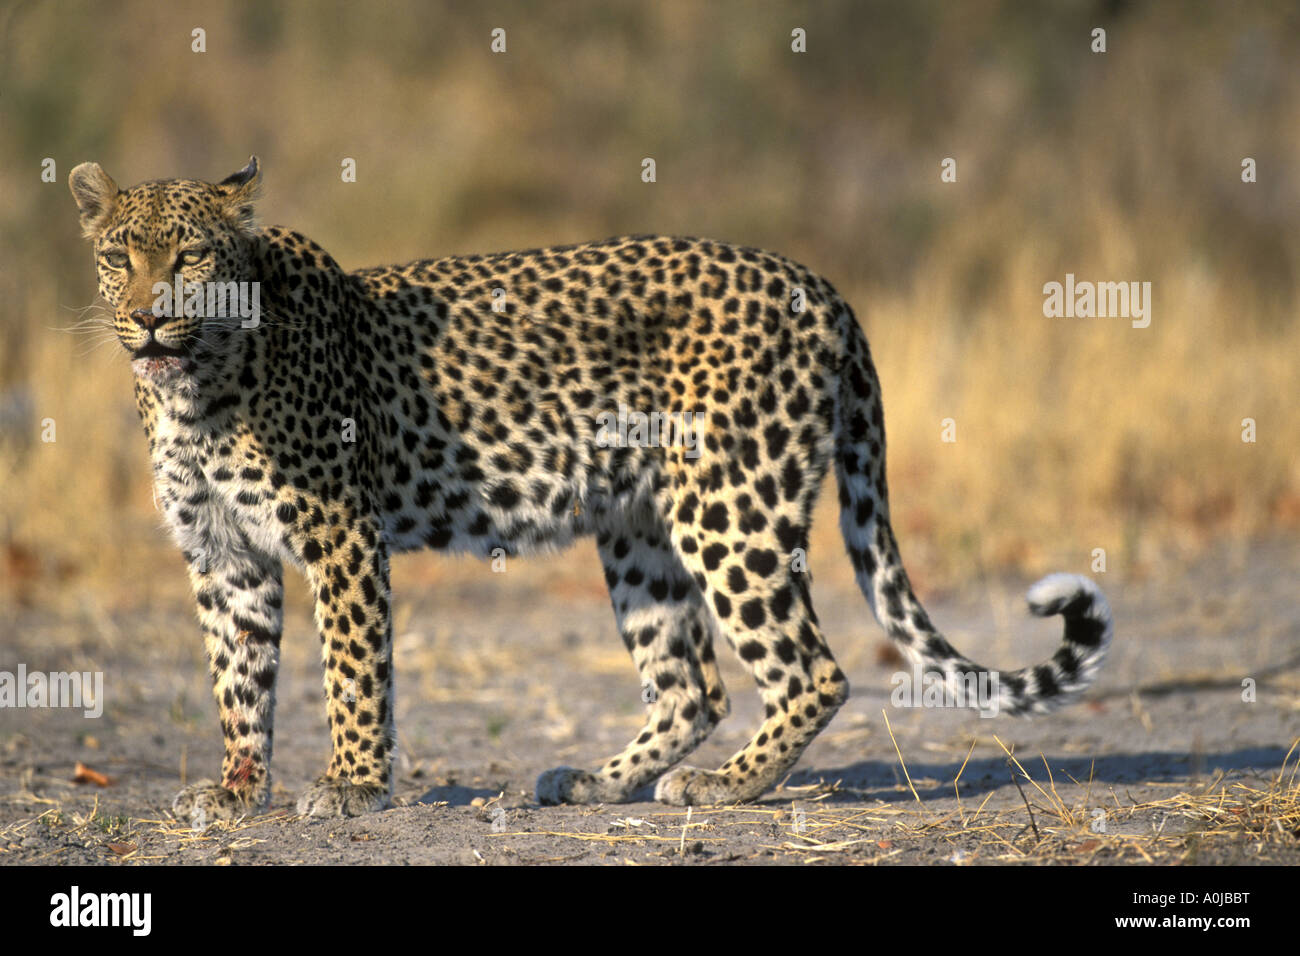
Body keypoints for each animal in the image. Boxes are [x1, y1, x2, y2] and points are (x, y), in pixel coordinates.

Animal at [68, 157, 1113, 821]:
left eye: (192, 256)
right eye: (119, 256)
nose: (148, 317)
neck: (198, 389)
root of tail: (820, 284)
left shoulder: (340, 533)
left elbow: (353, 670)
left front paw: (355, 785)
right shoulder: (224, 553)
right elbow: (237, 680)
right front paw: (237, 791)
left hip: (731, 505)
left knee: (811, 670)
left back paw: (724, 788)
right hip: (638, 525)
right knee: (692, 683)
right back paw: (599, 785)